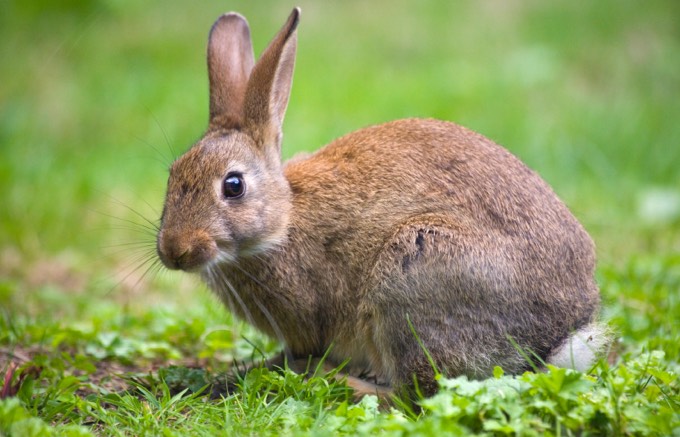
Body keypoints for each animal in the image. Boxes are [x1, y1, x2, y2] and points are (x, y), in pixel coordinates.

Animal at [156, 7, 609, 400]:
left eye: (233, 186)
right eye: (172, 176)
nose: (174, 251)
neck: (283, 219)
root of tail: (557, 335)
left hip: (413, 271)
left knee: (415, 393)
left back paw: (337, 380)